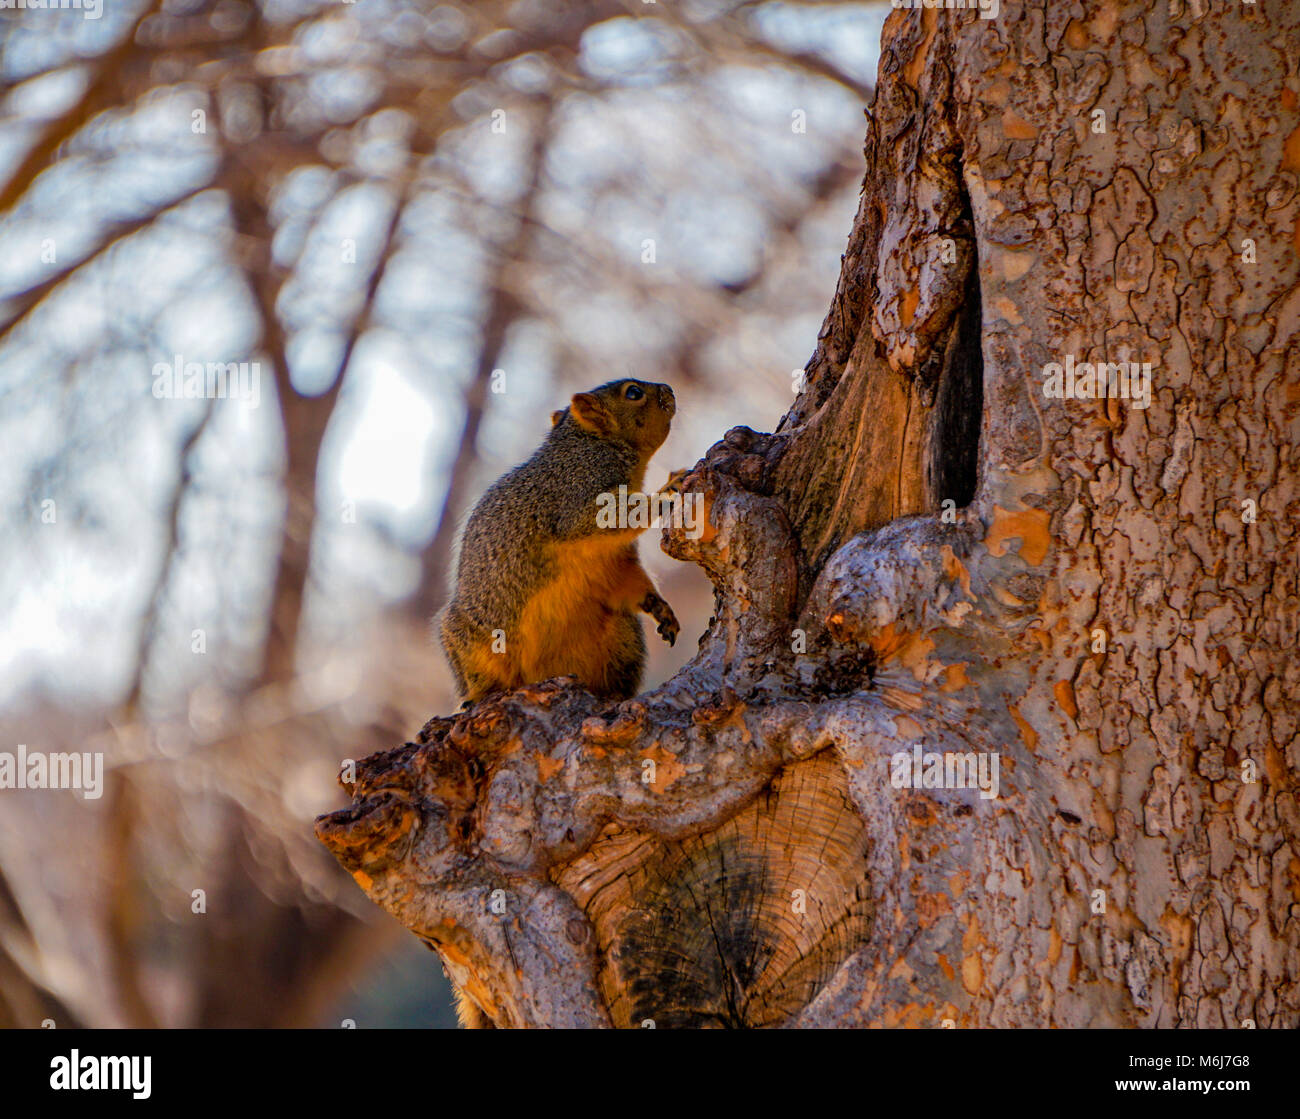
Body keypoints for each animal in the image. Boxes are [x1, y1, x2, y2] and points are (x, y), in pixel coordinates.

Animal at [437, 378, 680, 1029]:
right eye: (632, 392)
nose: (668, 390)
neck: (592, 444)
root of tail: (538, 676)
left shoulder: (616, 567)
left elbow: (632, 582)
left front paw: (665, 608)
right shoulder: (579, 497)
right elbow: (612, 515)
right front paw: (673, 491)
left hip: (617, 638)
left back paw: (610, 699)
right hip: (473, 639)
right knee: (480, 678)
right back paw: (479, 697)